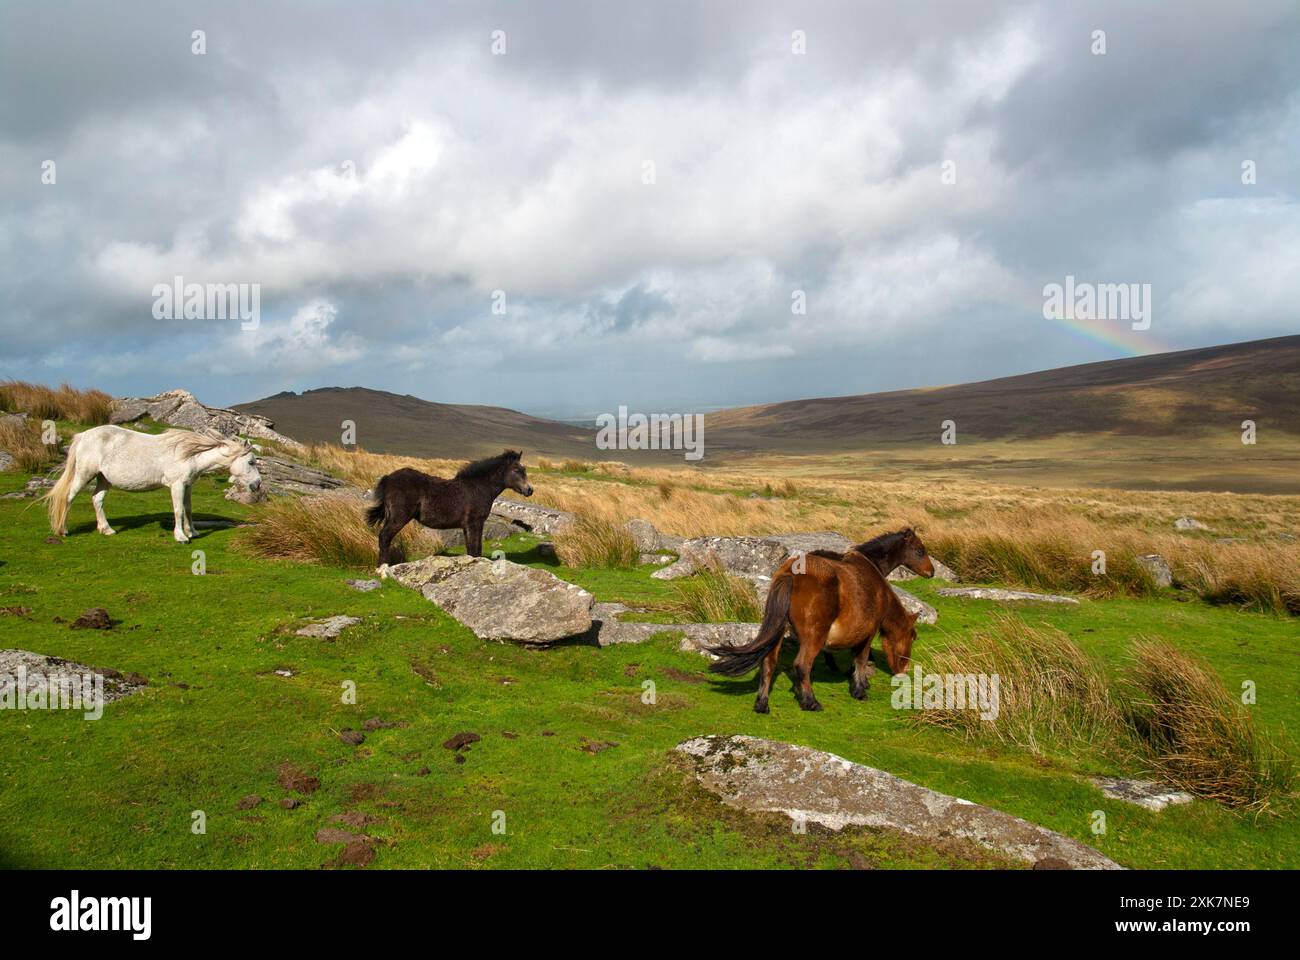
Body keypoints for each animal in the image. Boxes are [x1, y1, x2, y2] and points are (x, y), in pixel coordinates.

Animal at [43, 425, 262, 543]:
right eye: (251, 462)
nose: (257, 485)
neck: (190, 454)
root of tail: (83, 436)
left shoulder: (188, 485)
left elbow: (188, 509)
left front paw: (193, 532)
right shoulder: (177, 485)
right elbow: (178, 510)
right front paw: (181, 537)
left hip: (104, 479)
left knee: (97, 500)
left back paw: (107, 529)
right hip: (84, 475)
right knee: (69, 497)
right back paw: (63, 530)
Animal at [366, 450, 533, 565]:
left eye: (525, 470)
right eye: (517, 471)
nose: (530, 490)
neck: (479, 487)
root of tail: (388, 478)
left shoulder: (468, 526)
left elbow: (472, 549)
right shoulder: (475, 523)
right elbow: (475, 549)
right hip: (399, 517)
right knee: (384, 537)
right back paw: (383, 568)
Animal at [707, 531, 929, 714]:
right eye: (919, 551)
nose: (904, 670)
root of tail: (791, 573)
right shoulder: (868, 633)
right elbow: (860, 659)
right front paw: (860, 688)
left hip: (779, 632)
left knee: (769, 663)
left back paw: (763, 704)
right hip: (814, 636)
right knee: (802, 665)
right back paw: (810, 702)